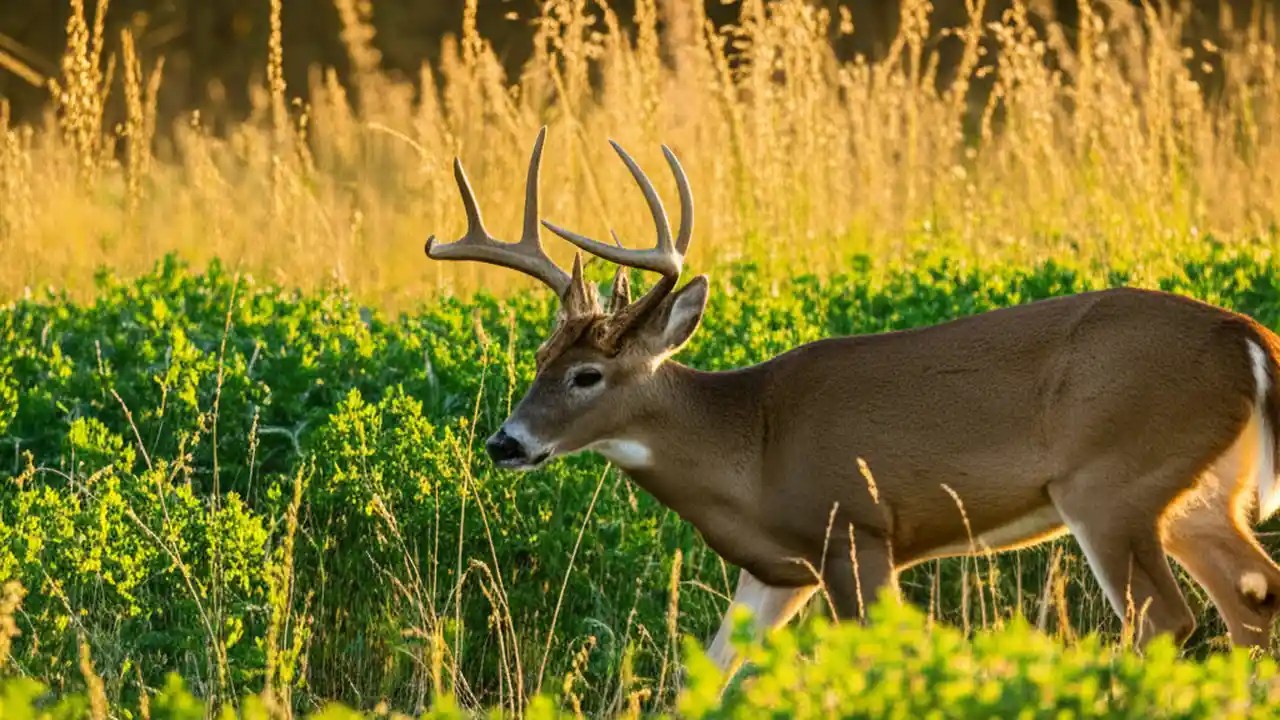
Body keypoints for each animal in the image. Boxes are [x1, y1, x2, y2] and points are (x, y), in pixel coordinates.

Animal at [423, 127, 1280, 676]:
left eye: (587, 376)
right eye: (539, 359)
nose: (504, 443)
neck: (750, 445)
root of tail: (1249, 338)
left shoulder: (857, 531)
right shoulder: (777, 569)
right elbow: (712, 678)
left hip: (1110, 483)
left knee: (1168, 620)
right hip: (1197, 493)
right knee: (1253, 604)